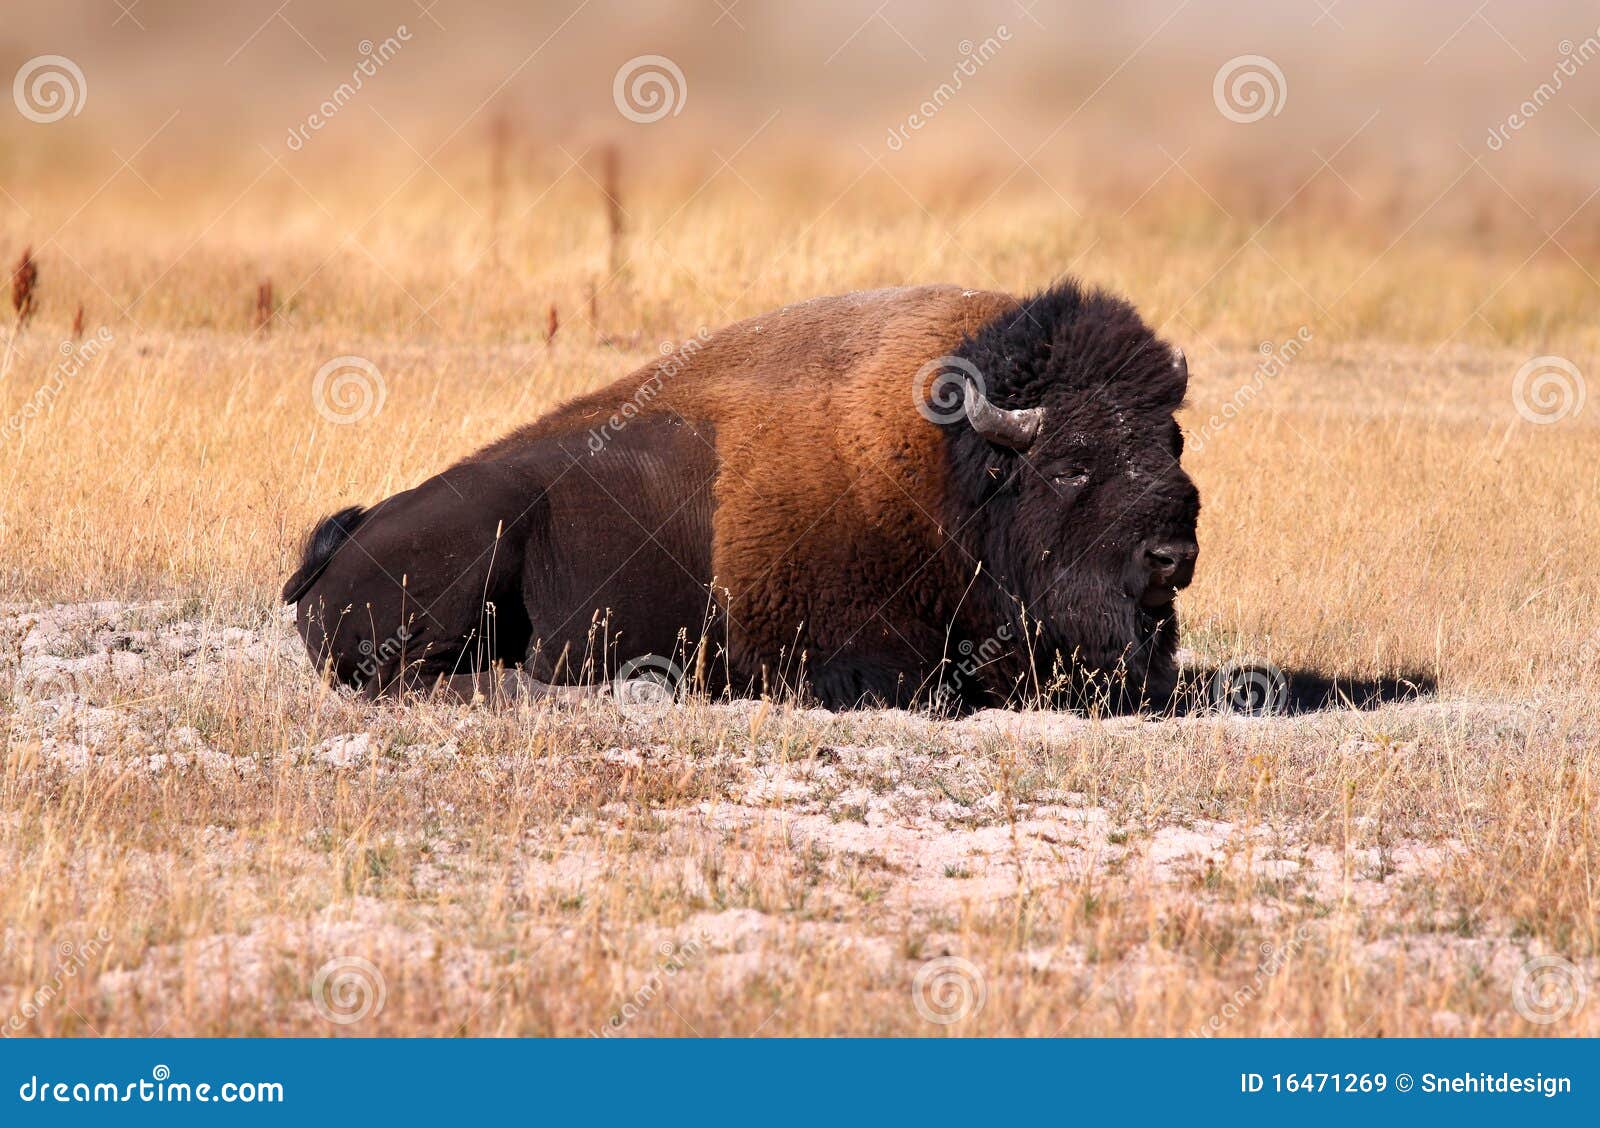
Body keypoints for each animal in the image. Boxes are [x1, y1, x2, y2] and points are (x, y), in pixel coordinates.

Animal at [282, 278, 1199, 711]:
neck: (953, 472)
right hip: (480, 548)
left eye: (1174, 442)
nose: (1172, 555)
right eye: (1072, 464)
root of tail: (339, 548)